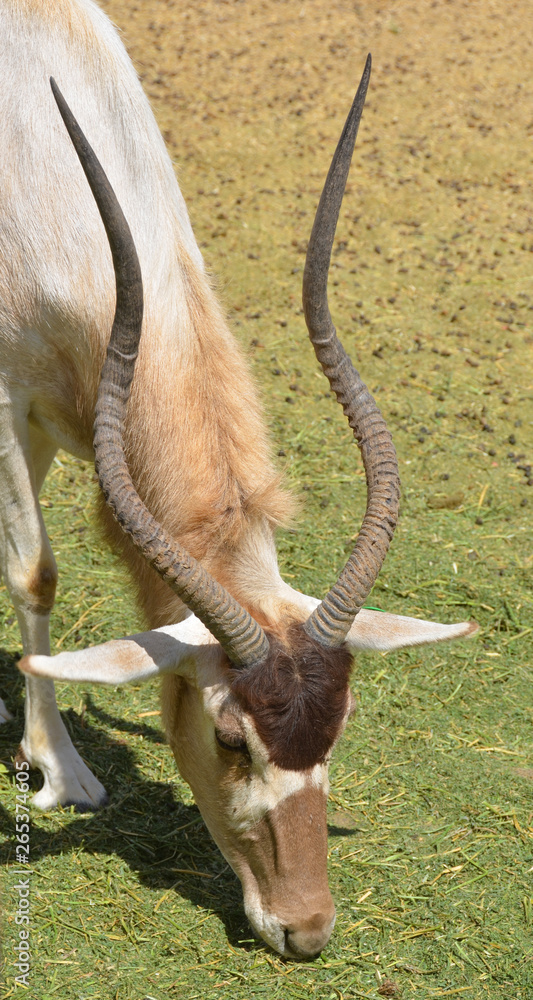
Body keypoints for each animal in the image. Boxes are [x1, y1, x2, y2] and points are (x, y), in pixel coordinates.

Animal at [1, 0, 476, 959]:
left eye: (341, 725)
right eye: (229, 737)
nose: (305, 929)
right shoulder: (4, 394)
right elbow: (36, 572)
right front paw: (61, 771)